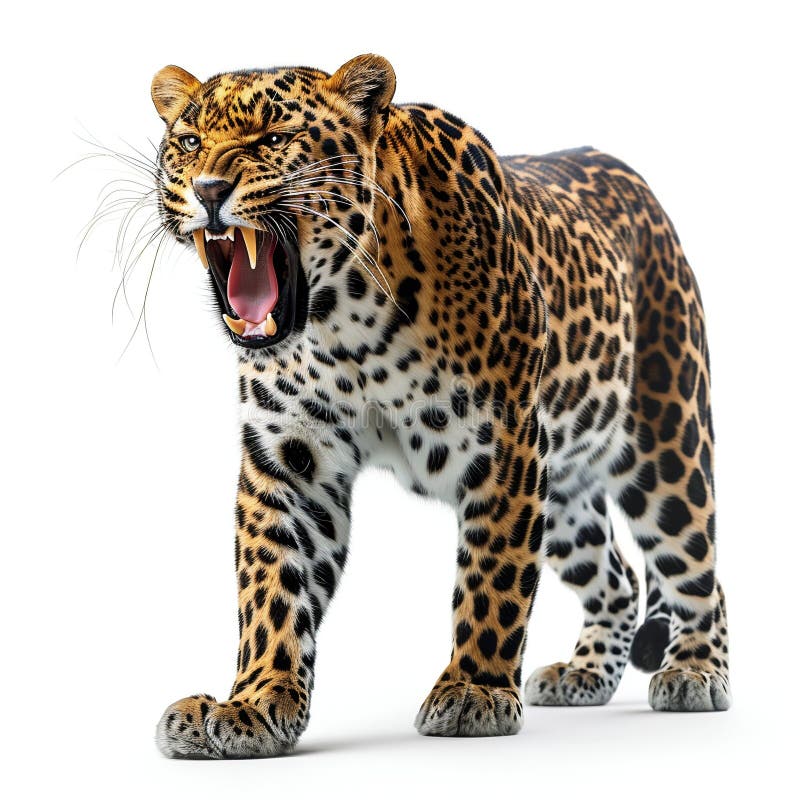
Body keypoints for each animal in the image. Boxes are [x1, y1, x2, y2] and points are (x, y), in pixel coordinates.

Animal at [149, 54, 730, 759]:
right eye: (187, 143)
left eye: (274, 138)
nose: (208, 190)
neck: (340, 325)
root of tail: (634, 180)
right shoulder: (288, 462)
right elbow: (272, 591)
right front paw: (252, 704)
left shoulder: (506, 445)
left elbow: (493, 578)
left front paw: (474, 691)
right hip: (564, 494)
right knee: (617, 576)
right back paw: (585, 673)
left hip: (667, 441)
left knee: (696, 565)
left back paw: (696, 670)